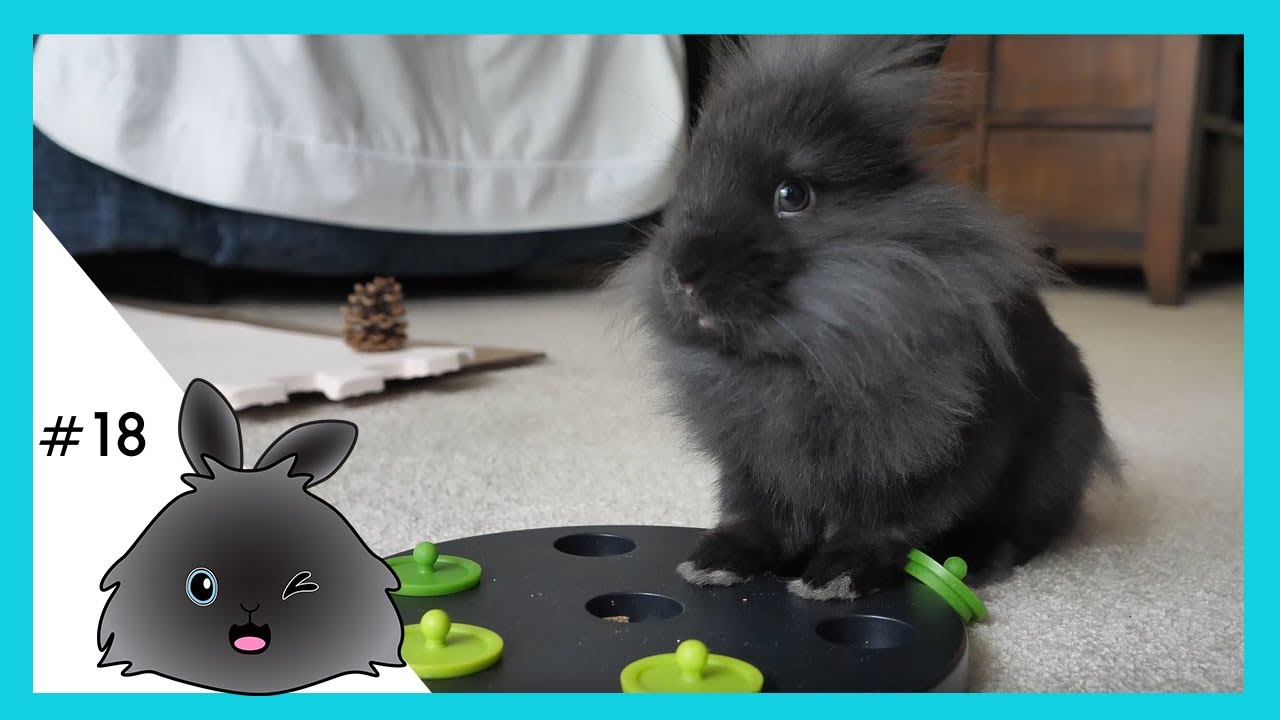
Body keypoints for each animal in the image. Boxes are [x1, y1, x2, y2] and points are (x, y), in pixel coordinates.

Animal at [612, 35, 1119, 601]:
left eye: (793, 194)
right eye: (687, 180)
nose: (681, 276)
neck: (798, 360)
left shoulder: (919, 465)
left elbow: (881, 526)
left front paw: (833, 579)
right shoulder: (753, 467)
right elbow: (758, 519)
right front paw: (713, 563)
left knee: (1024, 533)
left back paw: (979, 558)